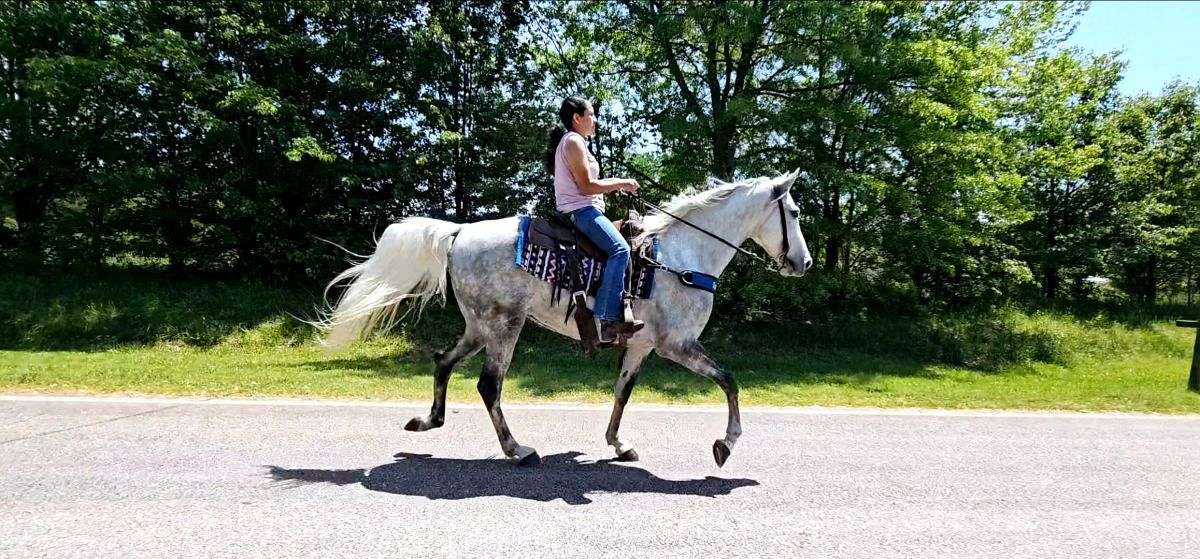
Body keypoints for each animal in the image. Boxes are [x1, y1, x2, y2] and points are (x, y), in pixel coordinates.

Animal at [315, 169, 813, 467]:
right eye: (792, 212)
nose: (804, 263)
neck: (682, 258)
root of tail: (458, 233)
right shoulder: (677, 344)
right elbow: (729, 380)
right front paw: (726, 443)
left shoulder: (641, 345)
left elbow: (622, 393)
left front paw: (618, 443)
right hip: (504, 325)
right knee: (489, 385)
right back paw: (517, 450)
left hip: (479, 325)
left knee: (444, 362)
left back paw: (427, 421)